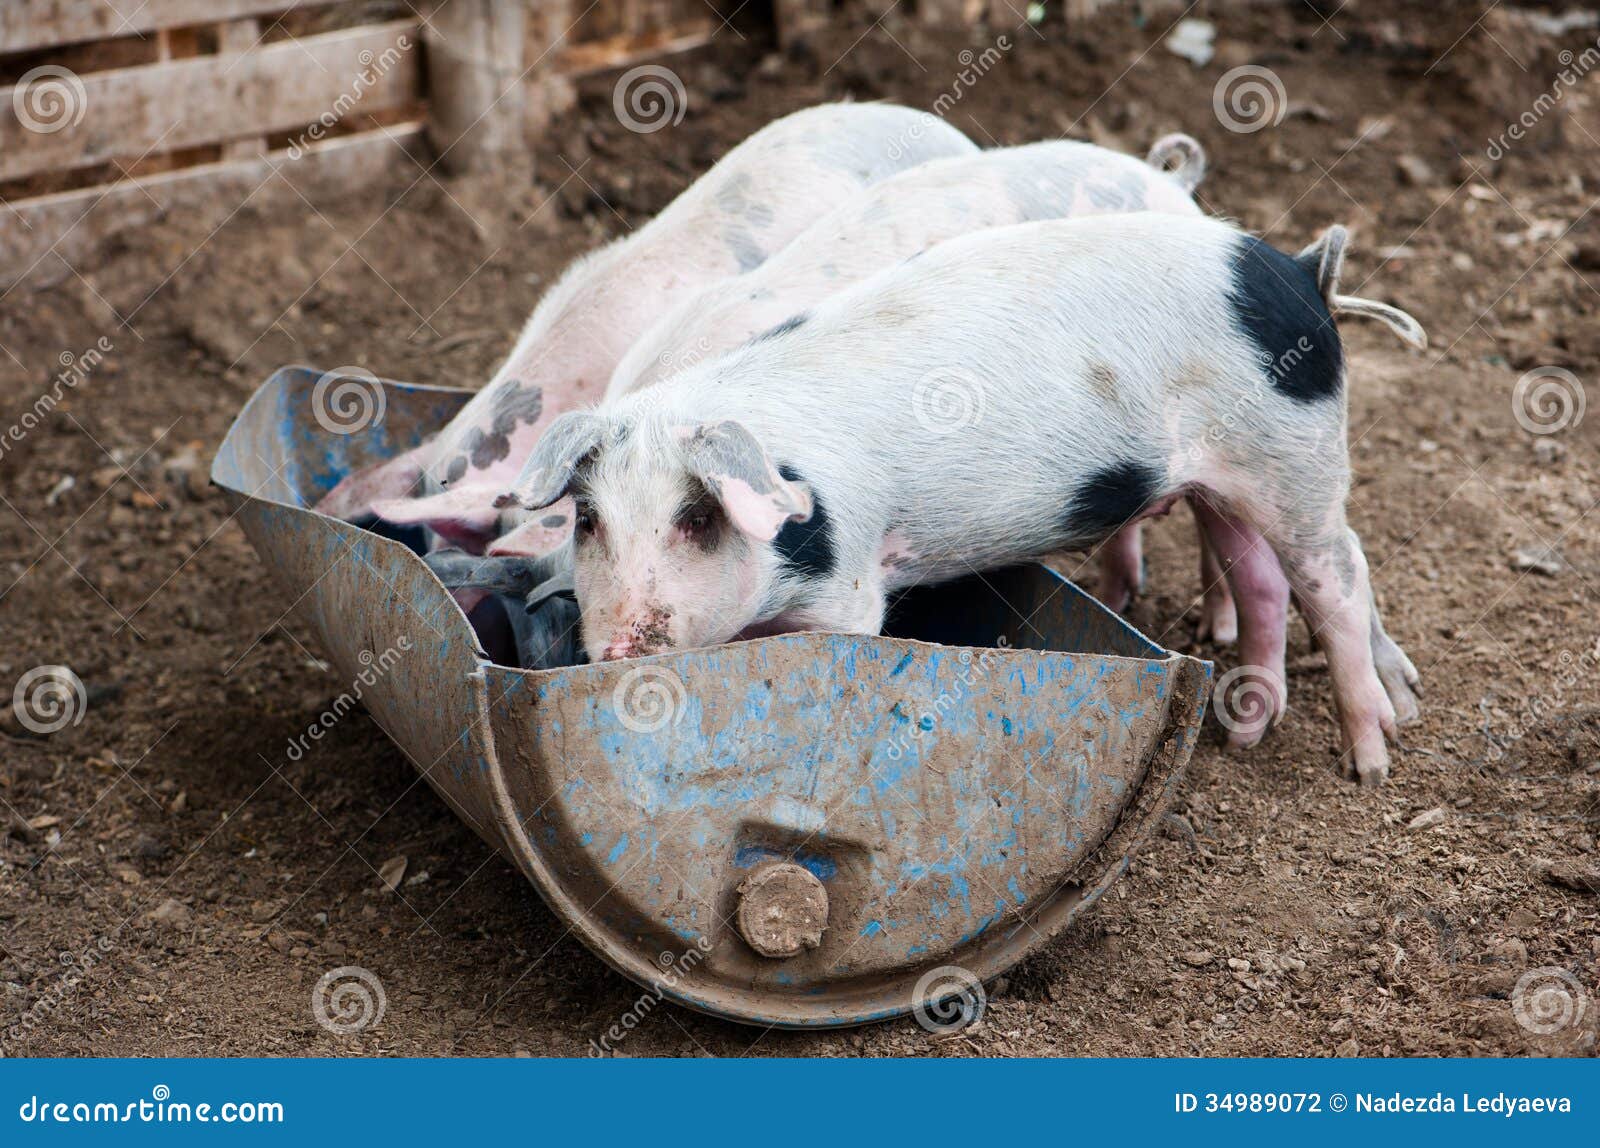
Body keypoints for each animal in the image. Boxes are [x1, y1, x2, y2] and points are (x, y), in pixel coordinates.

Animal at [499, 213, 1428, 784]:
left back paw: (1370, 761)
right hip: (1224, 477)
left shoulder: (849, 591)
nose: (617, 653)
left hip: (1296, 455)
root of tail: (1304, 275)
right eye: (589, 520)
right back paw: (1244, 732)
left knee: (1342, 577)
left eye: (695, 519)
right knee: (1264, 580)